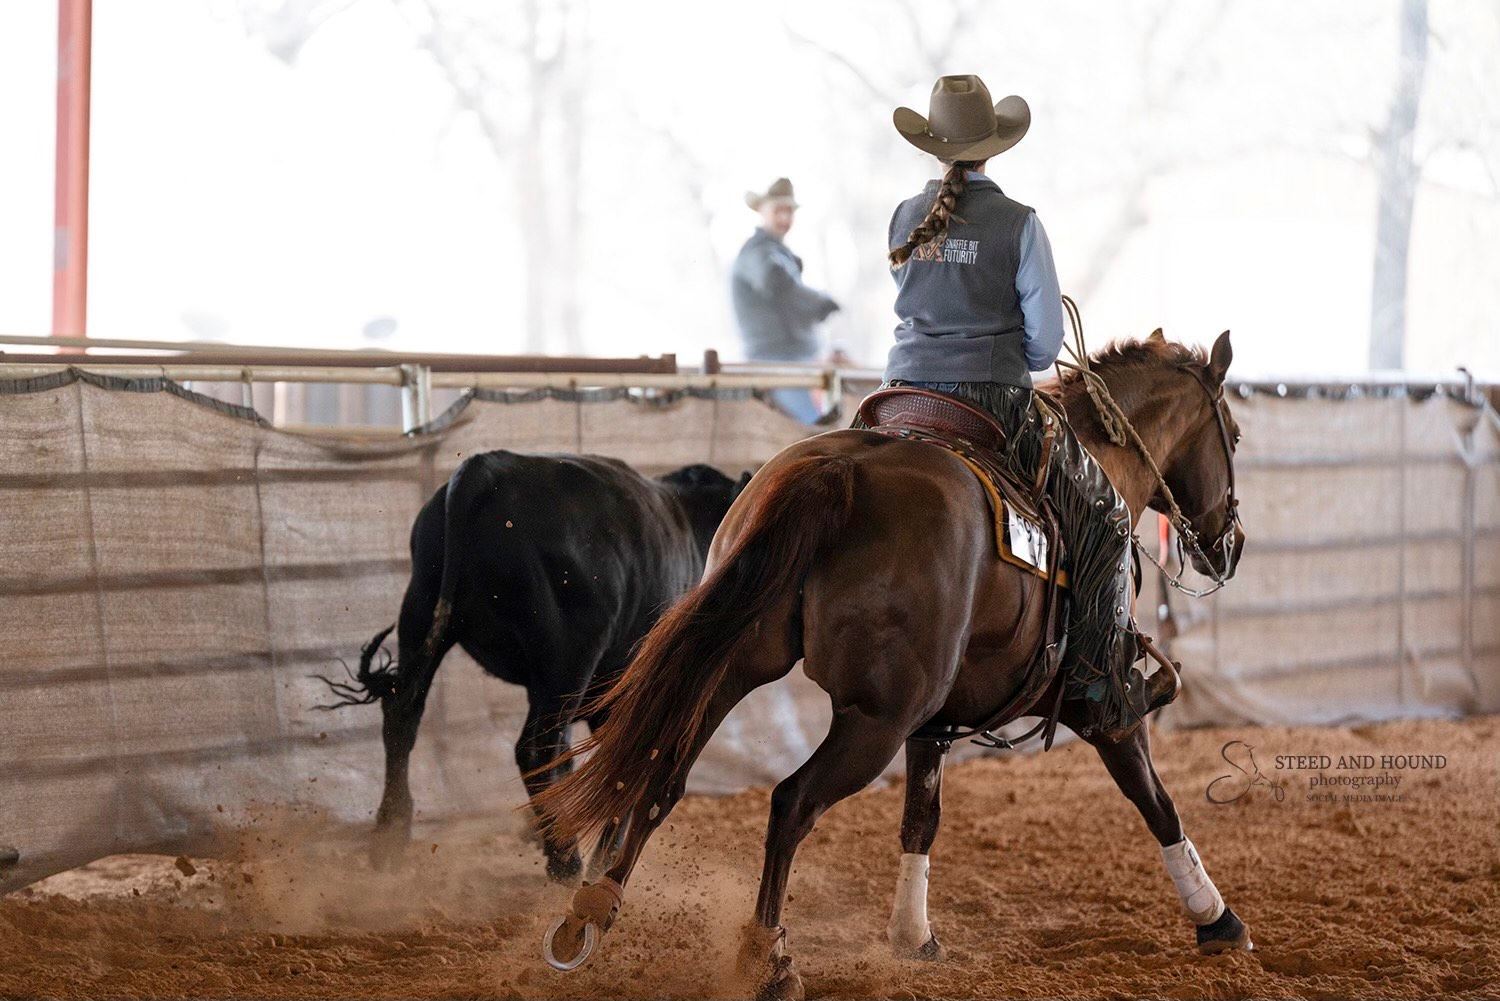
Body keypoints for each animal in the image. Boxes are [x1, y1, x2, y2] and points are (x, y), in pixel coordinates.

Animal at [319, 452, 749, 880]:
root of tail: (484, 467)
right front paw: (601, 858)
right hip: (570, 657)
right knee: (534, 747)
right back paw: (566, 860)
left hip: (421, 614)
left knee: (403, 716)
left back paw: (389, 839)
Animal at [535, 332, 1248, 998]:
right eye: (1235, 436)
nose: (1231, 545)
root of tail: (839, 473)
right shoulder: (1101, 707)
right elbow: (1155, 800)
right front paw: (1218, 921)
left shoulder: (933, 722)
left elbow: (920, 818)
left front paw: (914, 936)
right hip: (874, 719)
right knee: (791, 802)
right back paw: (767, 958)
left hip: (734, 663)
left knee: (662, 773)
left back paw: (589, 915)